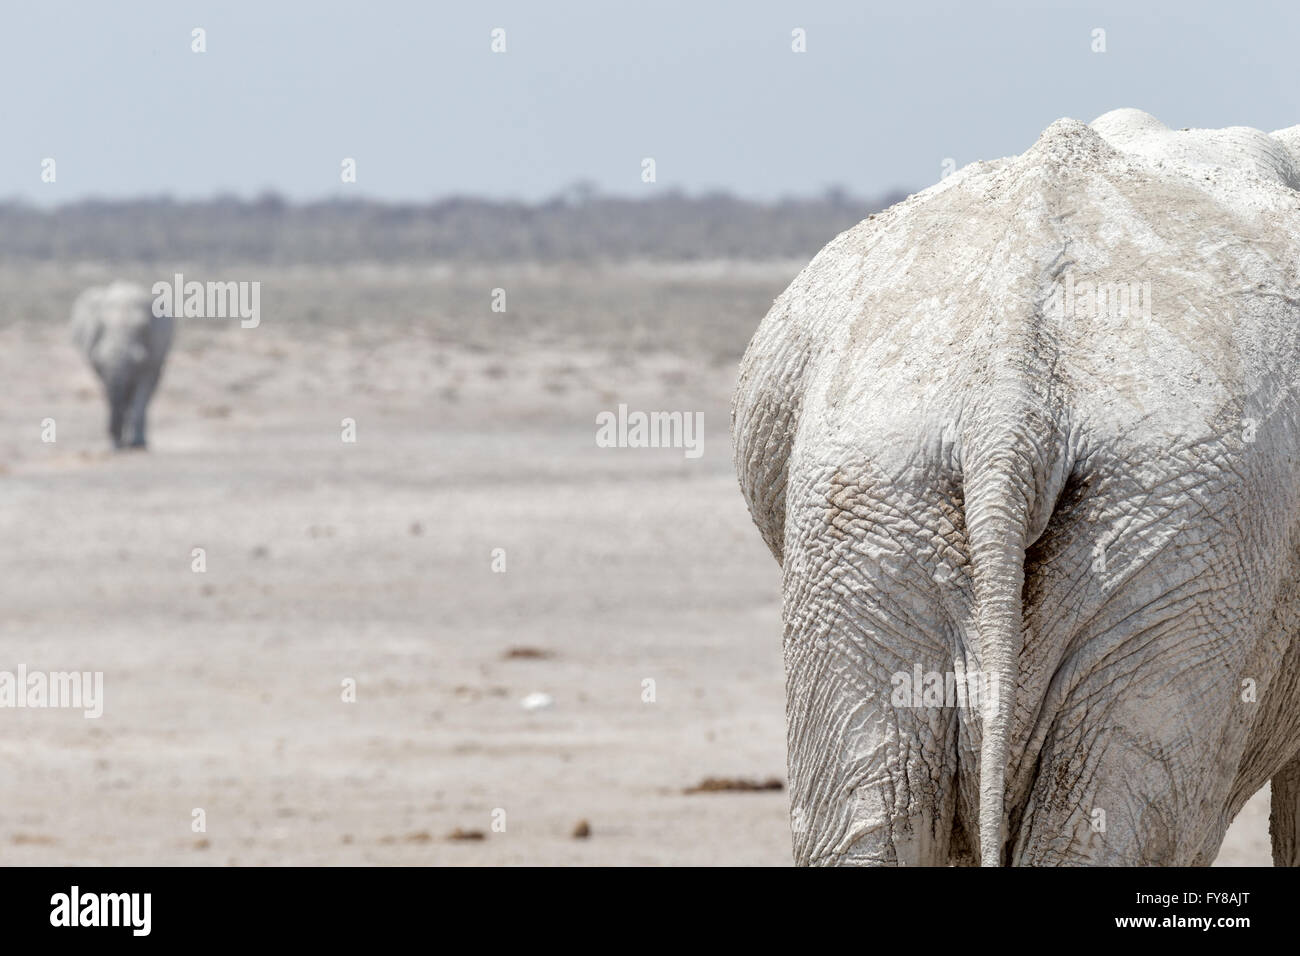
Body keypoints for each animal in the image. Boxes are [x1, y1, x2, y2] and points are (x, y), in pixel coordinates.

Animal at [70, 281, 174, 449]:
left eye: (143, 327)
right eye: (99, 325)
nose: (115, 440)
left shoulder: (154, 349)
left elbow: (143, 389)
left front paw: (137, 444)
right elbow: (110, 390)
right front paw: (117, 442)